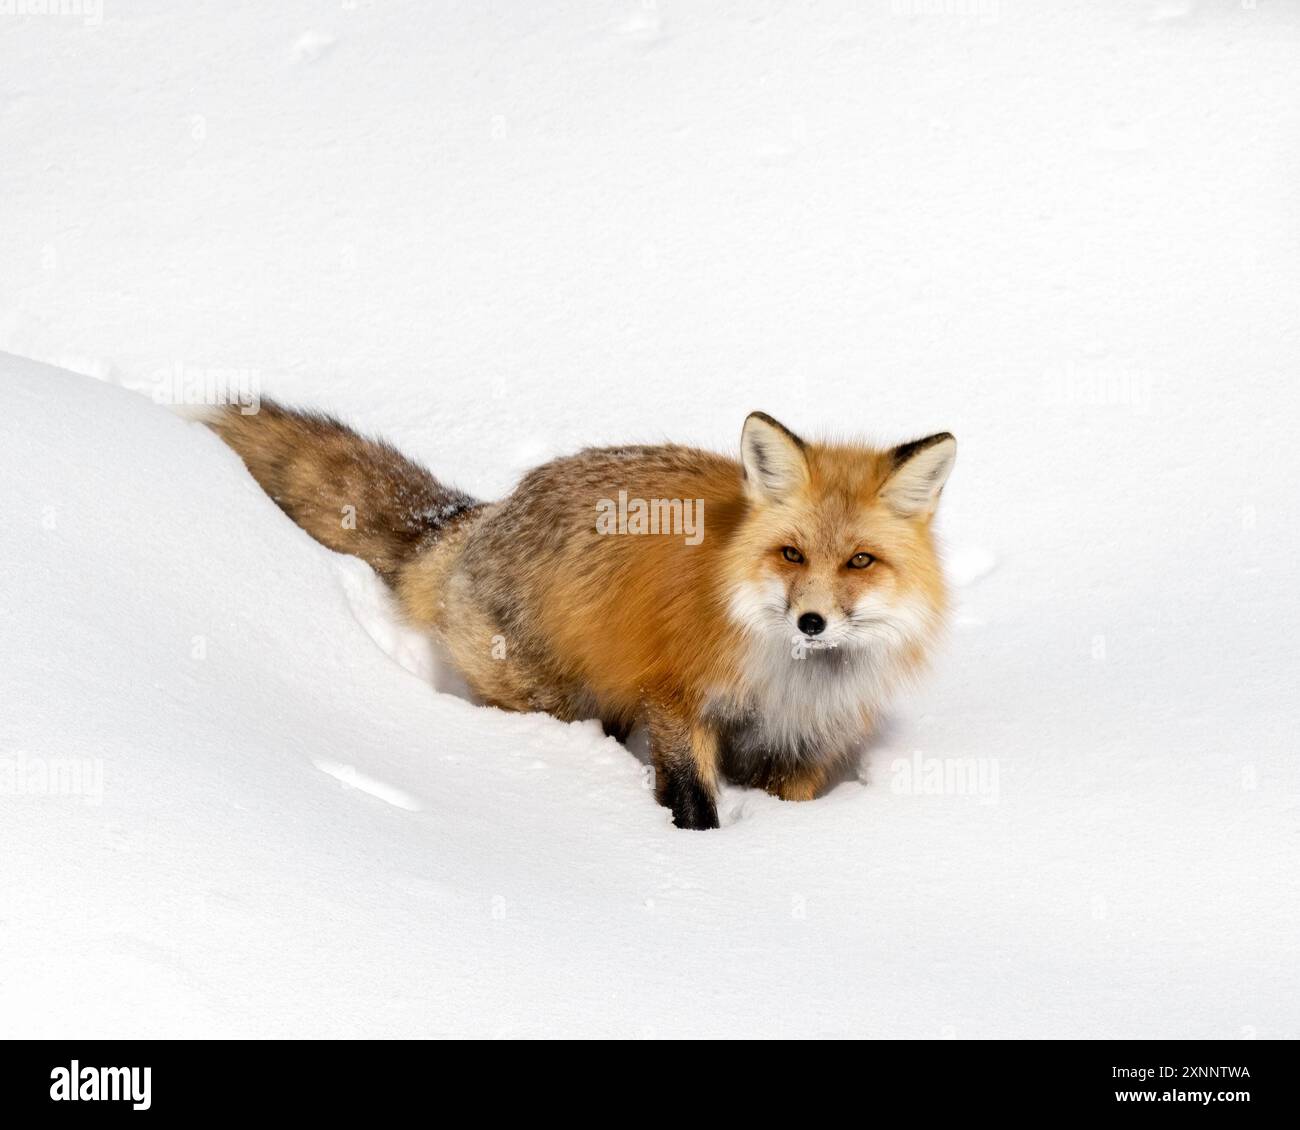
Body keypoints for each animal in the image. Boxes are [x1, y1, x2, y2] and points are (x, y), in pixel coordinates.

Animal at [201, 403, 956, 830]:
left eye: (860, 561)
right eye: (792, 554)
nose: (811, 623)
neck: (791, 681)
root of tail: (481, 515)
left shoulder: (807, 747)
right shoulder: (676, 696)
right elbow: (693, 800)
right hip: (552, 697)